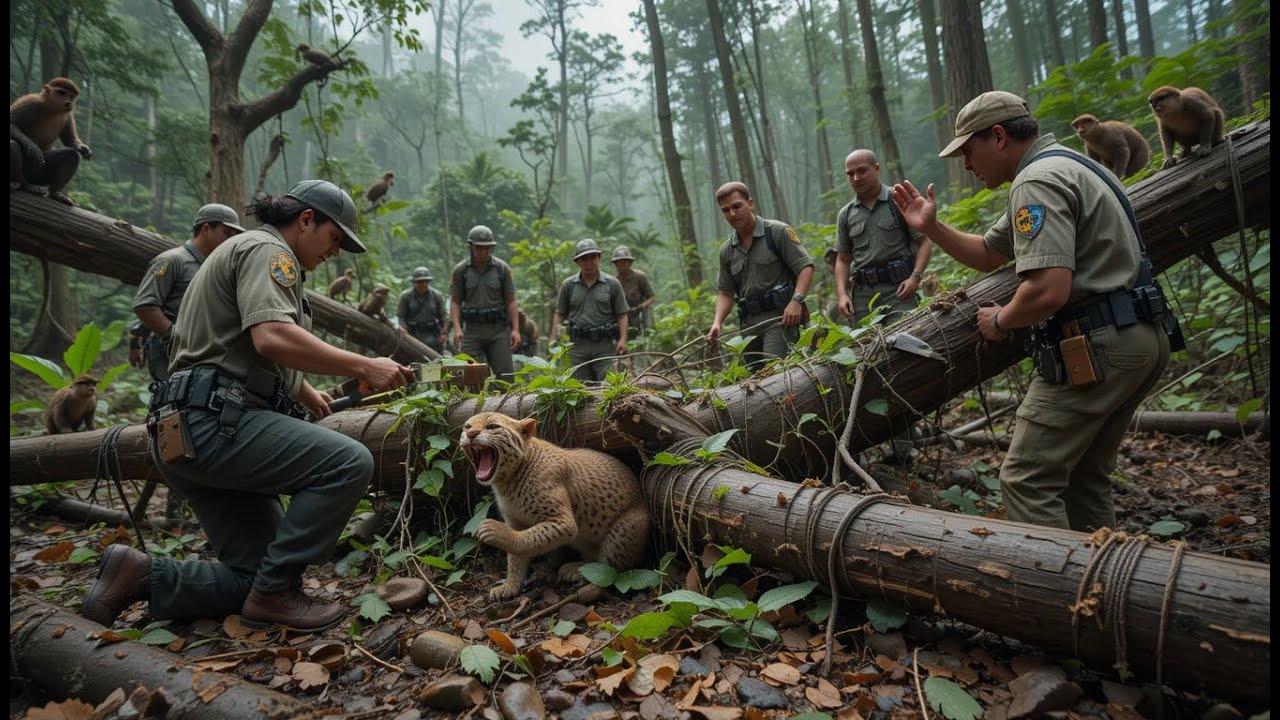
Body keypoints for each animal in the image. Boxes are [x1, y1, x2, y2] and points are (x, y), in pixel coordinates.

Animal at [460, 411, 650, 600]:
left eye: (493, 426)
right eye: (467, 427)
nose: (471, 434)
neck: (507, 484)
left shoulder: (564, 523)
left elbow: (524, 539)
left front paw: (495, 530)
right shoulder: (515, 520)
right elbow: (516, 557)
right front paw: (510, 586)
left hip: (624, 529)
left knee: (610, 569)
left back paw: (585, 581)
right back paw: (576, 568)